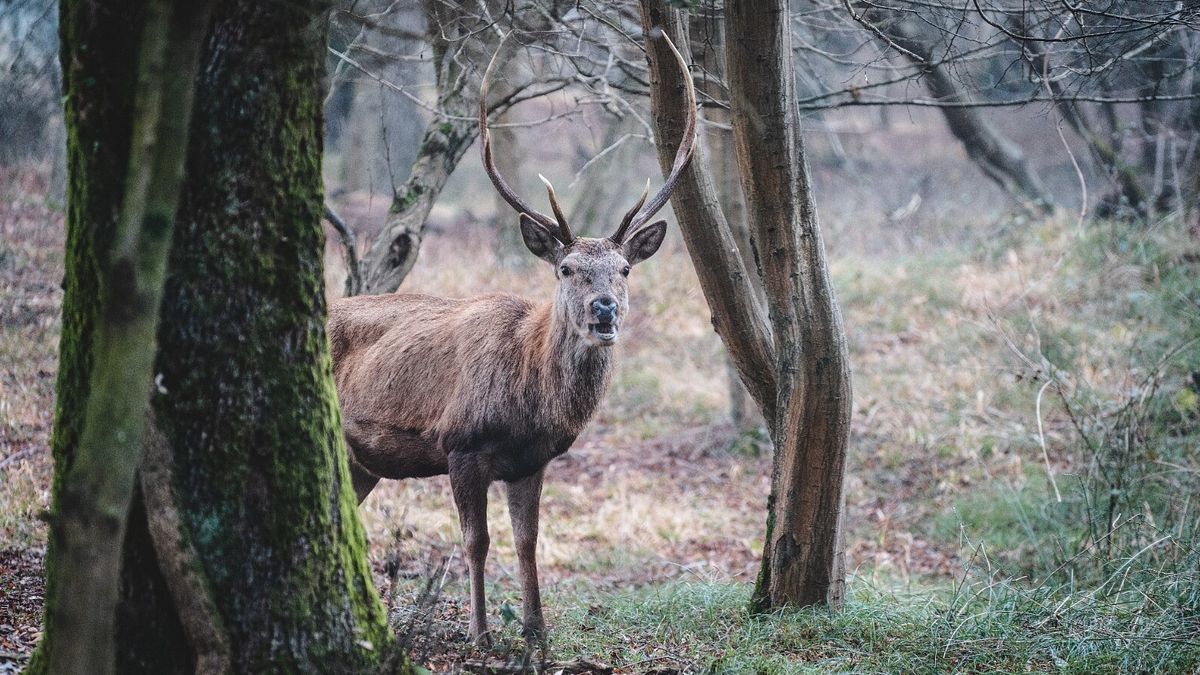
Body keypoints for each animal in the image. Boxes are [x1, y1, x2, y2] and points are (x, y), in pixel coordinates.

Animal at [327, 31, 696, 644]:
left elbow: (528, 542)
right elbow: (477, 542)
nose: (604, 309)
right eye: (567, 268)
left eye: (623, 268)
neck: (530, 400)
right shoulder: (460, 443)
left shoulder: (532, 461)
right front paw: (480, 633)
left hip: (361, 461)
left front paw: (536, 631)